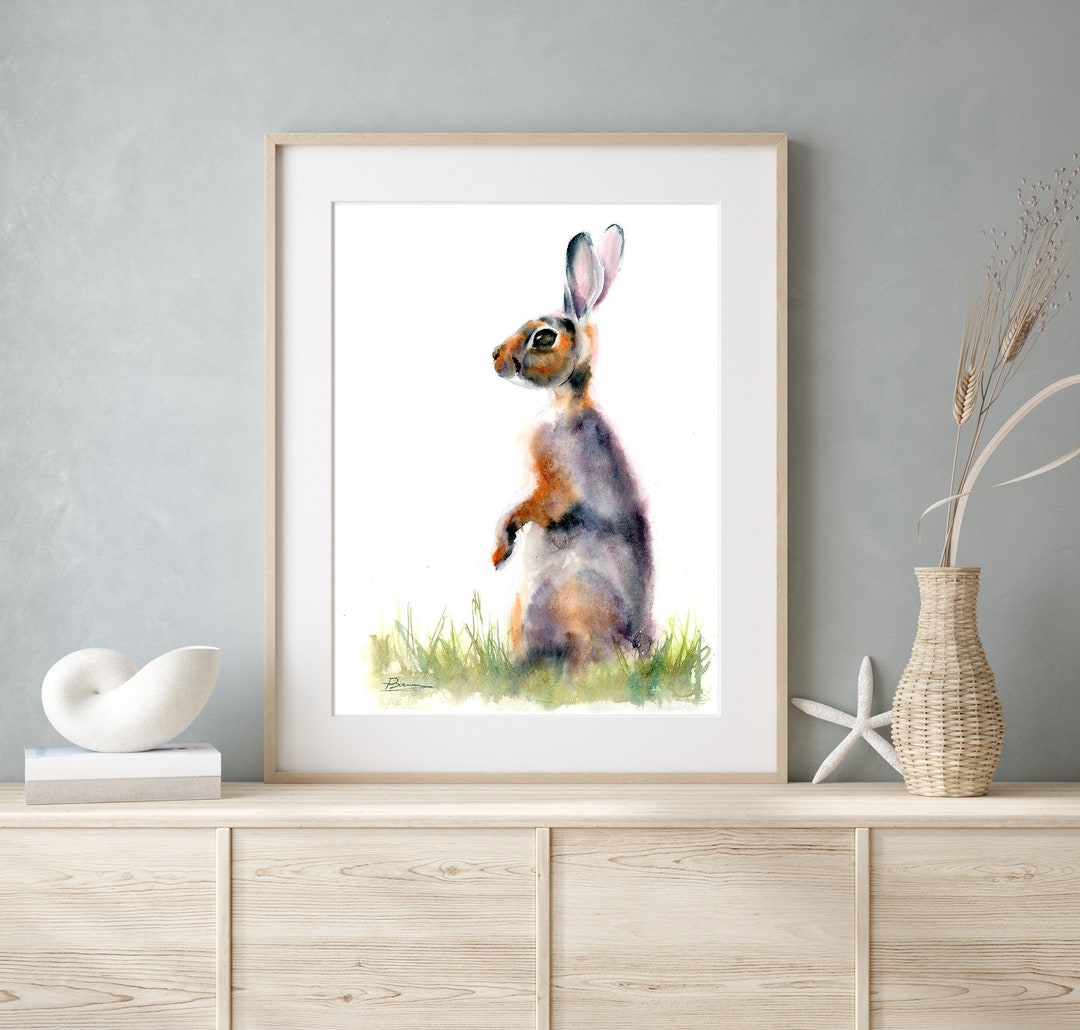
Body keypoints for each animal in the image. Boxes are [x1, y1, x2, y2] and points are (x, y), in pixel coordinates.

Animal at [491, 224, 654, 670]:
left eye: (544, 337)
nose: (495, 356)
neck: (567, 403)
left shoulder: (558, 485)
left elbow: (537, 506)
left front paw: (500, 548)